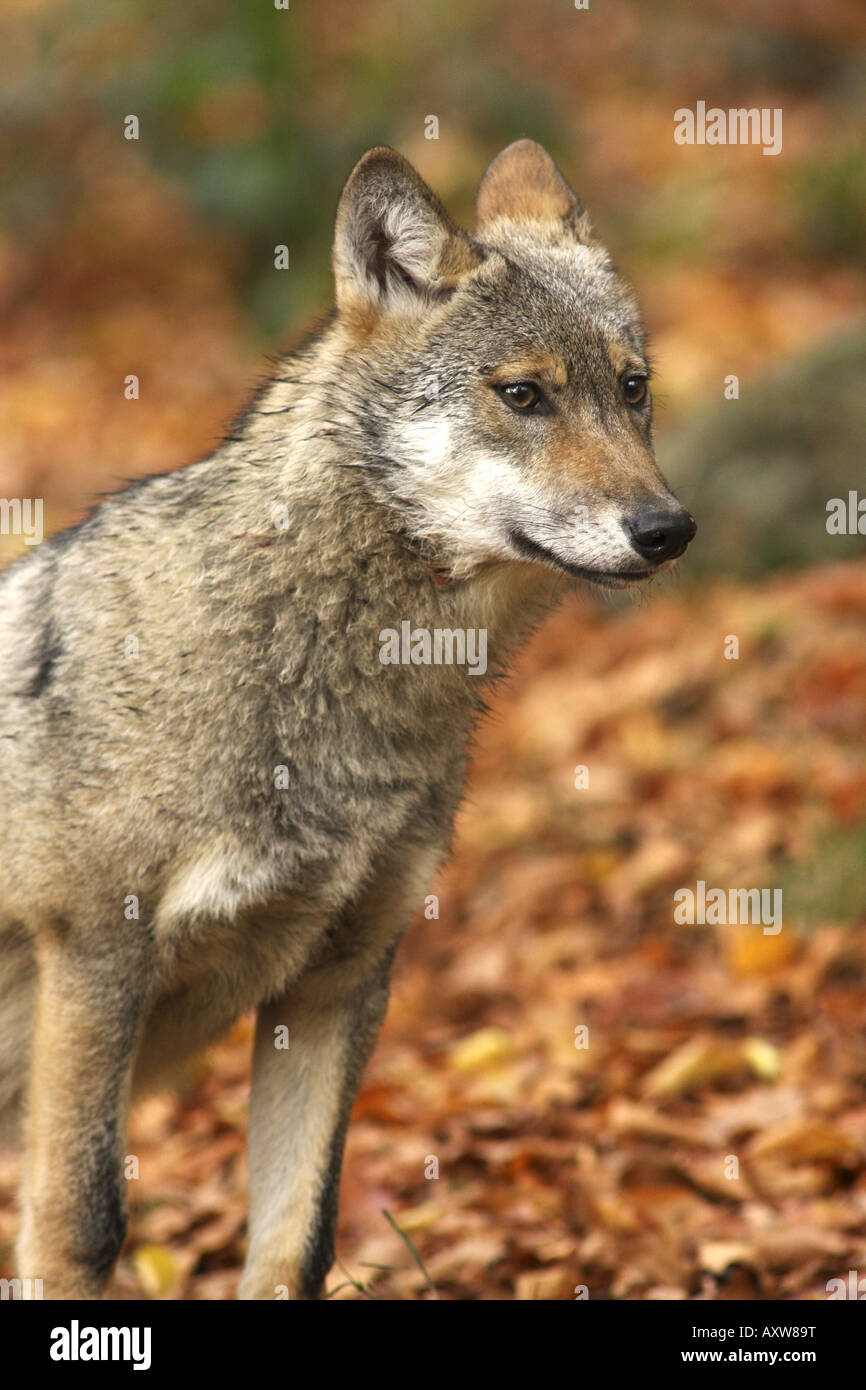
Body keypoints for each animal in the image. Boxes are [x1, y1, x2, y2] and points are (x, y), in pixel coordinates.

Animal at [0, 140, 695, 1299]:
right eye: (523, 395)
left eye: (631, 389)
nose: (668, 528)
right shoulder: (94, 953)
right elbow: (81, 1224)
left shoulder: (339, 979)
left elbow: (300, 1241)